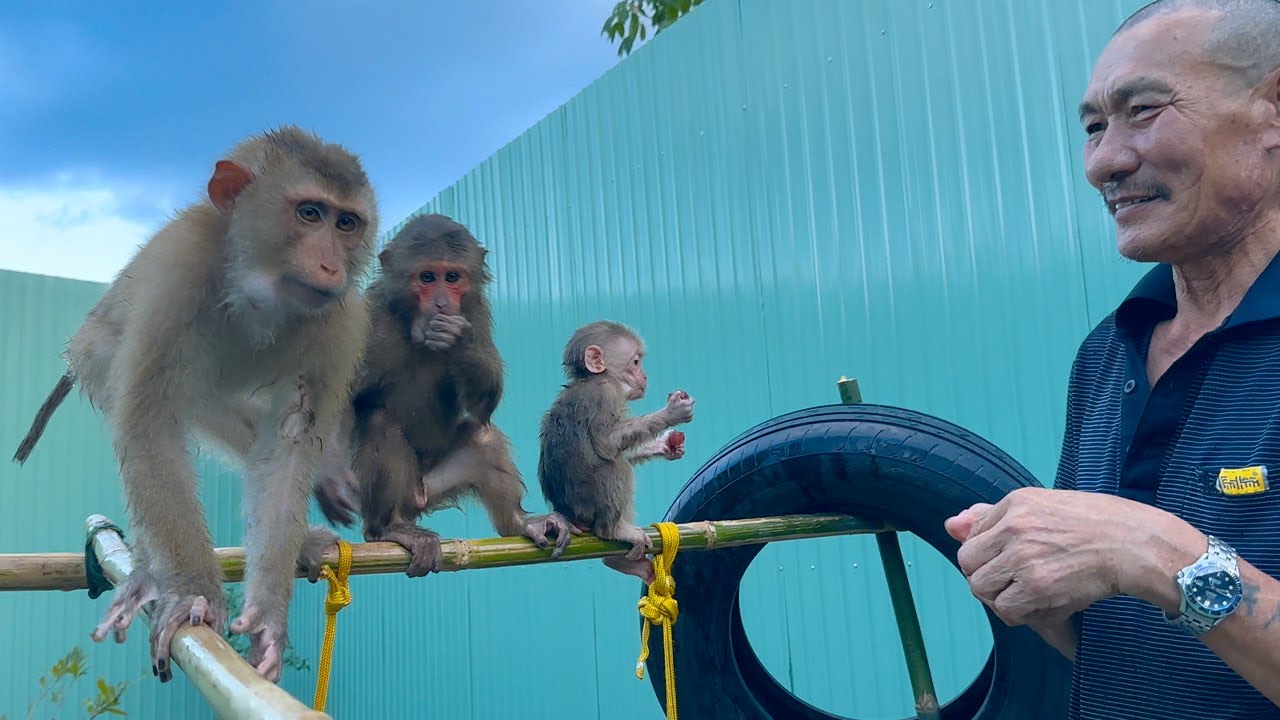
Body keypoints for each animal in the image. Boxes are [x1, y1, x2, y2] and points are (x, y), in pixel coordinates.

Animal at [11, 126, 379, 685]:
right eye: (310, 213)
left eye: (347, 223)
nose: (330, 264)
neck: (257, 287)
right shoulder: (178, 271)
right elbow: (146, 424)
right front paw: (194, 595)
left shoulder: (338, 322)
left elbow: (288, 445)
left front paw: (268, 615)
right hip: (94, 351)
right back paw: (147, 571)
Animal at [311, 213, 577, 577]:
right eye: (427, 277)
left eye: (452, 277)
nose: (441, 303)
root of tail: (415, 499)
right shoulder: (369, 320)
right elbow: (344, 398)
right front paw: (330, 477)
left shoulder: (476, 312)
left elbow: (484, 405)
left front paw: (458, 341)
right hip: (387, 494)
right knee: (379, 422)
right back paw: (387, 529)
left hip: (436, 484)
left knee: (483, 438)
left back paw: (519, 523)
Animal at [536, 320, 695, 583]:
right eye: (636, 362)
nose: (644, 375)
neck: (596, 378)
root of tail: (567, 514)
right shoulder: (605, 394)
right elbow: (608, 444)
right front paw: (672, 413)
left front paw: (666, 445)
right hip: (586, 505)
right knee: (616, 466)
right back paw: (612, 530)